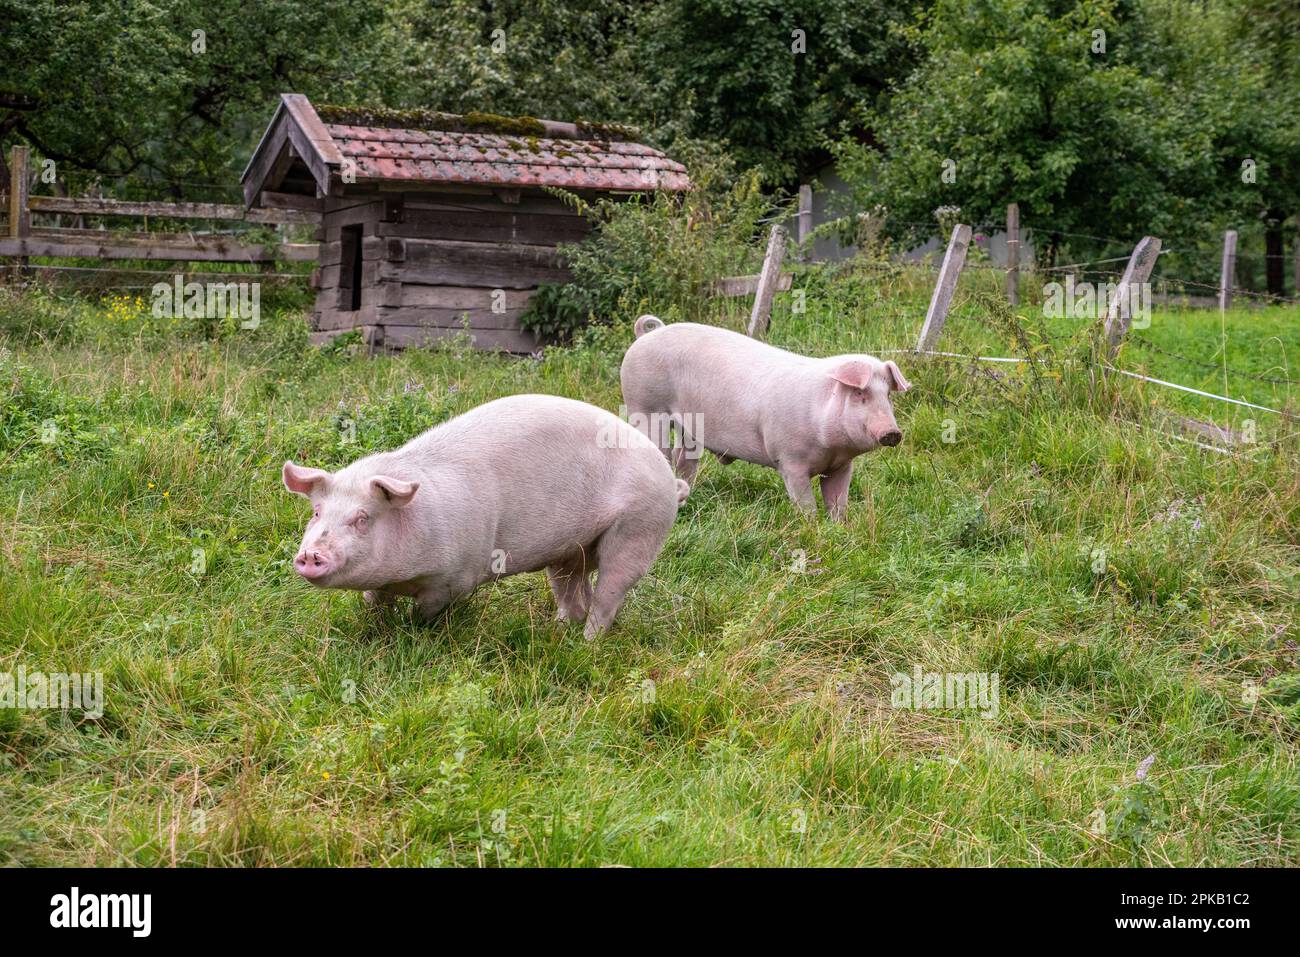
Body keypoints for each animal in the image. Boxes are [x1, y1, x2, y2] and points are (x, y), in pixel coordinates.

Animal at [282, 394, 690, 639]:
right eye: (316, 512)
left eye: (362, 518)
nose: (310, 554)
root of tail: (670, 479)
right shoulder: (381, 582)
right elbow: (373, 602)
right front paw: (378, 627)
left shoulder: (456, 577)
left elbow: (427, 610)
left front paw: (416, 631)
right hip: (570, 551)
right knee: (575, 594)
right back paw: (556, 634)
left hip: (639, 529)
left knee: (608, 597)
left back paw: (586, 644)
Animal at [620, 315, 911, 521]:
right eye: (860, 394)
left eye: (887, 395)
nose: (892, 432)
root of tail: (649, 333)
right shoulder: (790, 460)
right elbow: (806, 504)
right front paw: (812, 527)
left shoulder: (841, 466)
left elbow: (838, 503)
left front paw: (838, 528)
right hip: (644, 407)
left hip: (688, 429)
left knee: (684, 460)